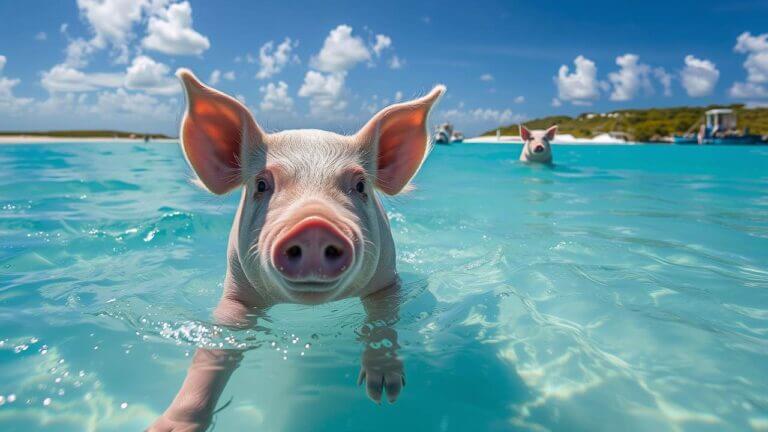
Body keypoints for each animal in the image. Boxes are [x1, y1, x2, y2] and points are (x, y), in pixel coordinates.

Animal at [148, 69, 445, 431]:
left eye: (360, 185)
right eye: (262, 184)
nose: (314, 224)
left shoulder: (387, 278)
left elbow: (381, 322)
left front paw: (384, 394)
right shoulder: (237, 290)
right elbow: (219, 345)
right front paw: (164, 428)